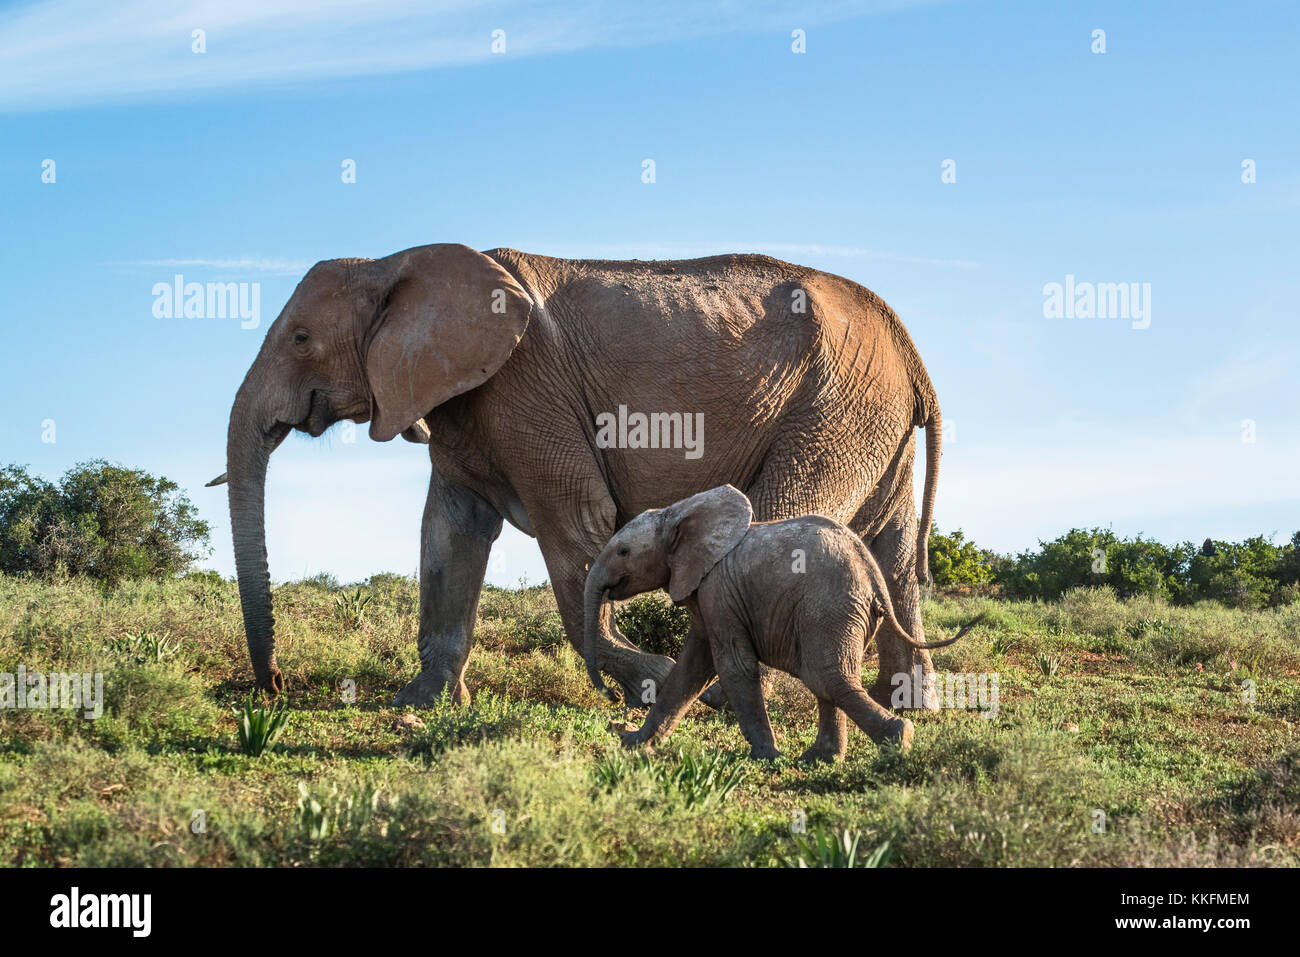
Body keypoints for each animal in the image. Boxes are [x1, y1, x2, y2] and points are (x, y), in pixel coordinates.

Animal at [211, 242, 948, 711]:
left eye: (301, 339)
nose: (274, 687)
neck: (392, 263)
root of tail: (911, 350)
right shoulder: (463, 405)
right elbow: (449, 535)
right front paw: (419, 702)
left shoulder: (525, 391)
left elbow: (574, 532)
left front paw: (659, 685)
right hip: (867, 417)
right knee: (890, 550)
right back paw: (914, 706)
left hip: (832, 405)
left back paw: (734, 693)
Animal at [583, 486, 981, 759]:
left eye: (623, 552)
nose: (612, 696)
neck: (681, 511)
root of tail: (872, 573)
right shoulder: (709, 592)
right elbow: (691, 669)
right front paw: (634, 742)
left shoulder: (719, 588)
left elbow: (733, 665)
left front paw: (767, 757)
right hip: (848, 613)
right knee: (830, 677)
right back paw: (821, 759)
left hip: (829, 606)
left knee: (826, 676)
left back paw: (900, 740)